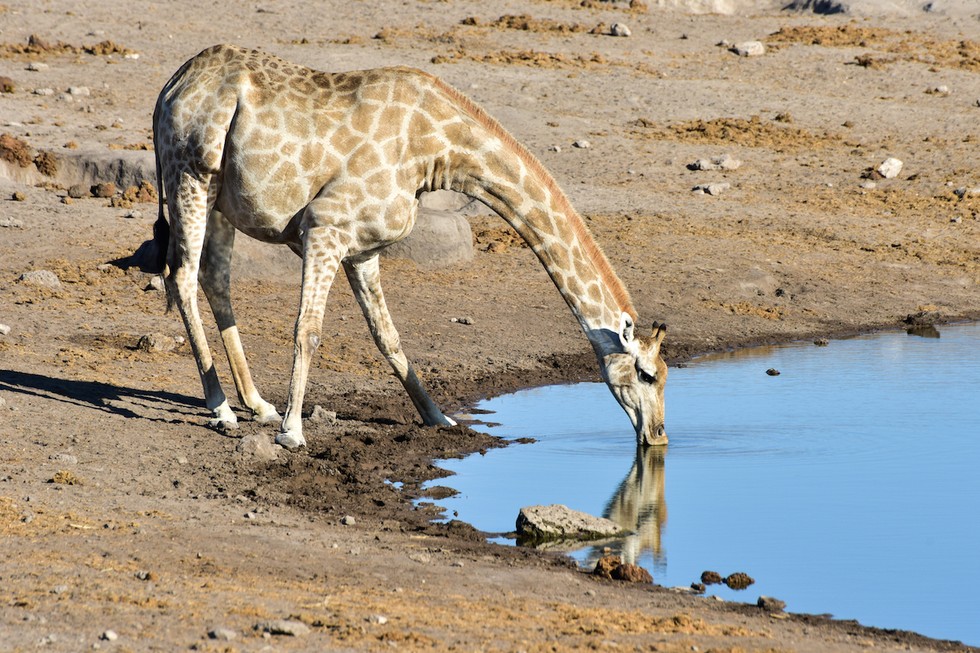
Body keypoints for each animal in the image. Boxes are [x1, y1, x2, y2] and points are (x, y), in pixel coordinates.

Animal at [151, 44, 668, 450]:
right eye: (647, 374)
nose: (659, 435)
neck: (438, 150)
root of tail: (170, 86)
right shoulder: (324, 226)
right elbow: (308, 329)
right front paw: (293, 432)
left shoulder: (362, 248)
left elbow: (388, 336)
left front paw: (438, 417)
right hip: (190, 175)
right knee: (182, 277)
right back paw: (221, 409)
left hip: (222, 198)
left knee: (214, 278)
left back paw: (256, 403)